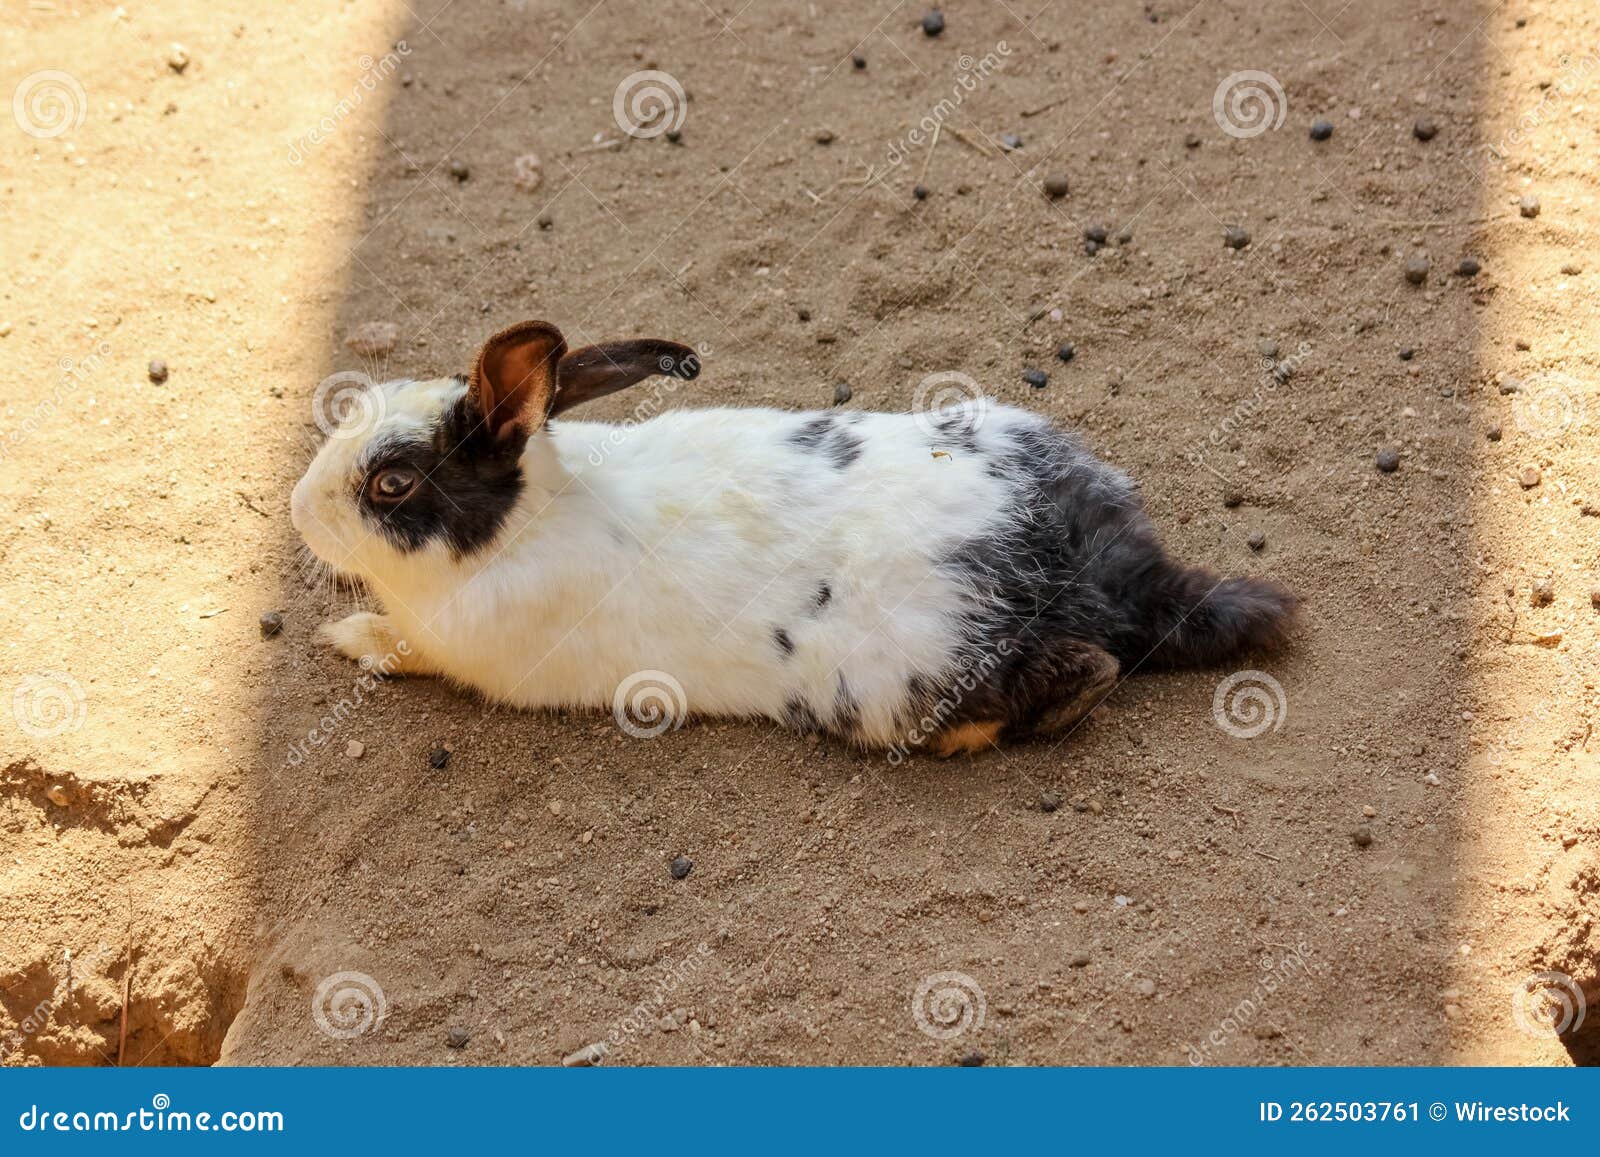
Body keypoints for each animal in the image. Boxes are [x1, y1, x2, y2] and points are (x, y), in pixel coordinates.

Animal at [291, 319, 1295, 759]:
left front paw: (344, 636)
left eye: (391, 484)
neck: (525, 523)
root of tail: (1108, 578)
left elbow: (401, 646)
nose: (300, 511)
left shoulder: (453, 648)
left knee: (1088, 671)